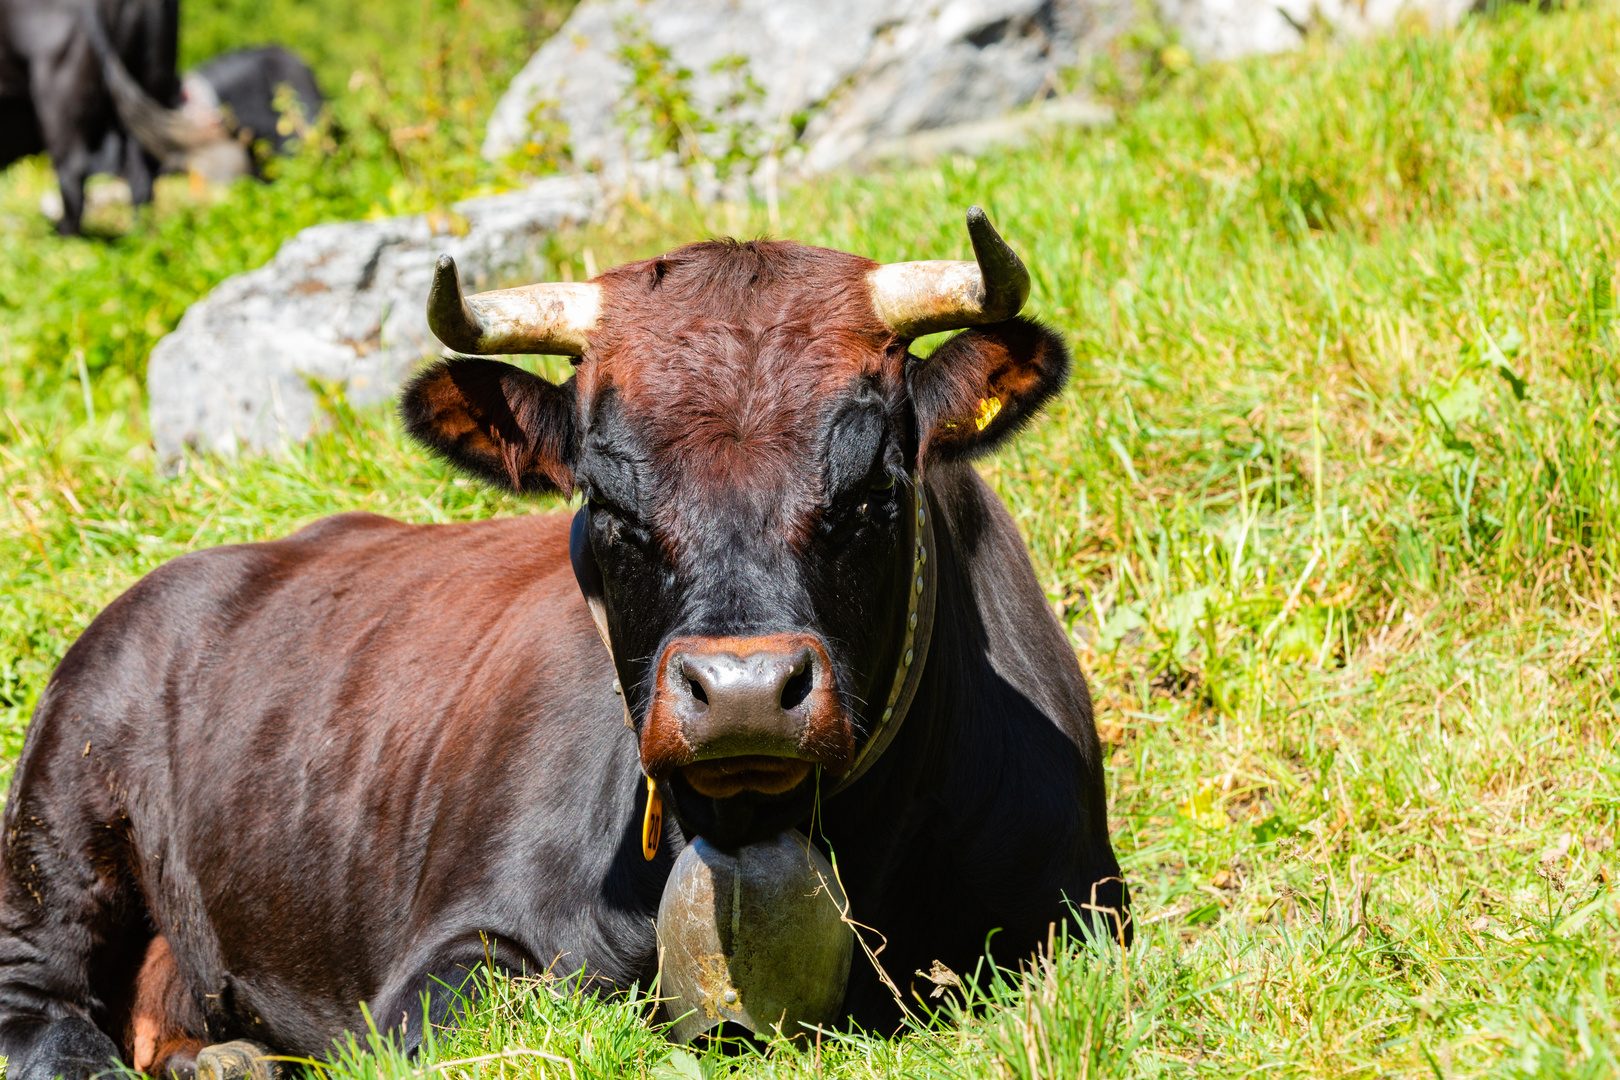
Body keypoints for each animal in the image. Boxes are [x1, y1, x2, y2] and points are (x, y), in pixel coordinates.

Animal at [0, 208, 1129, 1080]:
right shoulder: (450, 962)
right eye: (609, 503)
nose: (745, 690)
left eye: (871, 492)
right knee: (41, 1004)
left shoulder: (1077, 914)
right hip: (60, 817)